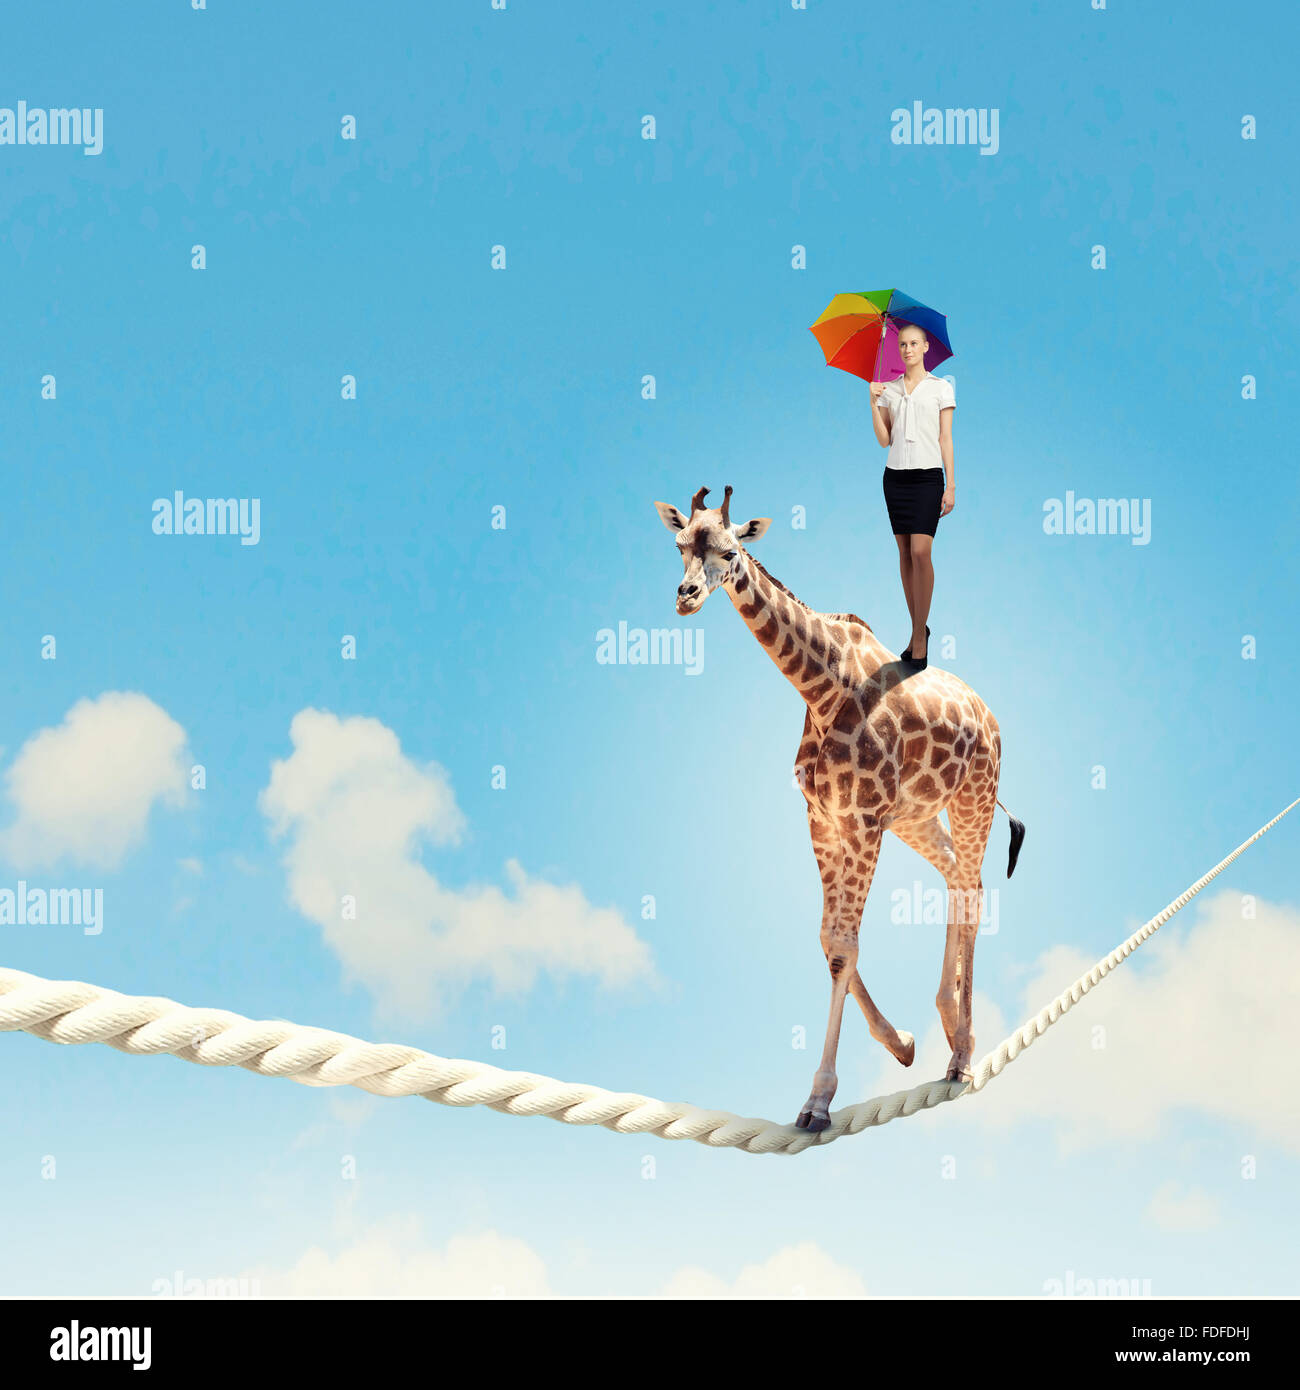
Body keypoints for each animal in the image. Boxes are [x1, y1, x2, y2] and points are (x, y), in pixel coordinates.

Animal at [654, 485, 1026, 1132]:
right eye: (679, 545)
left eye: (729, 550)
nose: (686, 596)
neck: (819, 689)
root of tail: (991, 717)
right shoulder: (825, 822)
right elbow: (829, 941)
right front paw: (901, 1043)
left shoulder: (865, 821)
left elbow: (844, 946)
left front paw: (818, 1101)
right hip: (918, 817)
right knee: (959, 876)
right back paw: (946, 1018)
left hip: (972, 798)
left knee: (973, 889)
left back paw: (961, 1054)